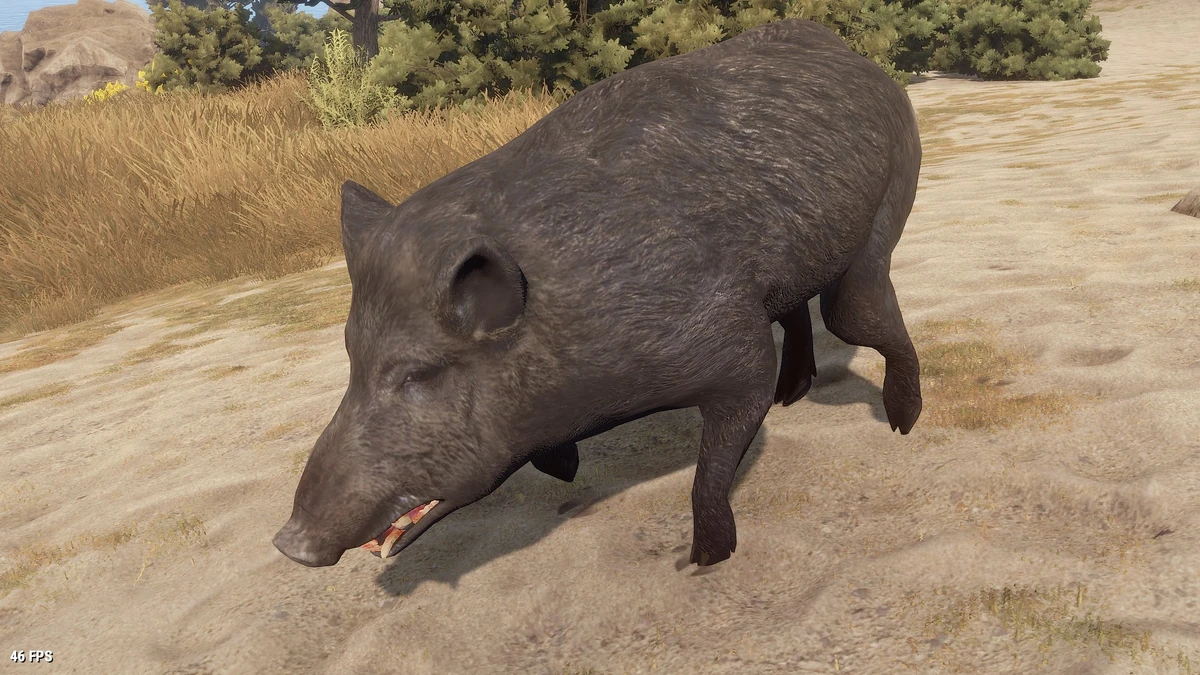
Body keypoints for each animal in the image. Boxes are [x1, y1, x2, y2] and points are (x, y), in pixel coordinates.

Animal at [273, 17, 923, 569]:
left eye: (418, 374)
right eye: (352, 357)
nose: (288, 542)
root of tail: (854, 56)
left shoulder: (724, 339)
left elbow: (716, 459)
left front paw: (703, 560)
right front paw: (565, 471)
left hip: (887, 202)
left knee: (856, 312)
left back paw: (902, 425)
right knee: (797, 312)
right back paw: (794, 397)